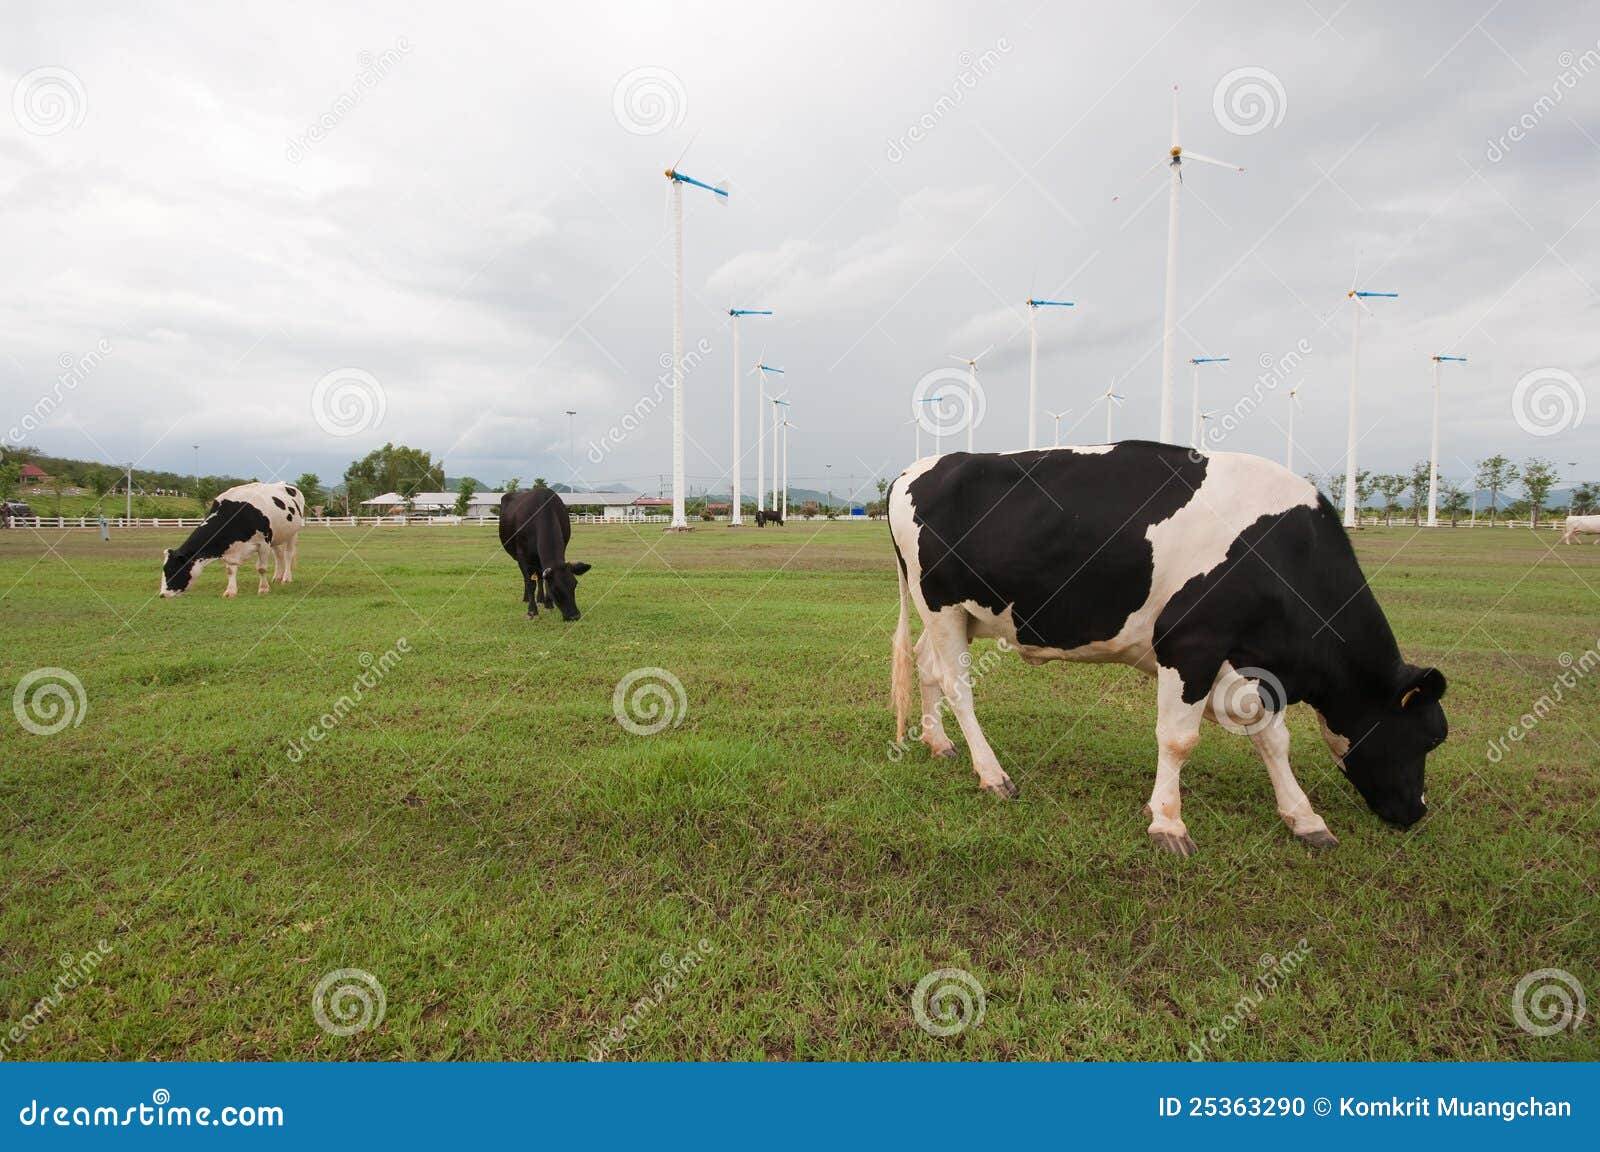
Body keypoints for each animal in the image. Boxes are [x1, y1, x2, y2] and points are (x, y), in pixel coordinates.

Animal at [161, 481, 304, 598]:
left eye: (172, 570)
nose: (163, 594)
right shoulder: (231, 549)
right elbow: (230, 570)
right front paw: (230, 591)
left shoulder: (263, 543)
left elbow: (261, 568)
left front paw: (263, 589)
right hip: (277, 535)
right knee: (278, 556)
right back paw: (277, 577)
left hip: (293, 533)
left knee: (287, 555)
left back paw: (286, 578)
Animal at [498, 486, 590, 621]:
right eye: (556, 590)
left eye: (574, 585)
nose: (574, 616)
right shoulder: (522, 557)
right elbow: (530, 583)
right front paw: (532, 611)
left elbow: (543, 579)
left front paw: (548, 604)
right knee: (528, 578)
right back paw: (526, 598)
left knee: (539, 577)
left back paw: (541, 599)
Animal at [888, 442, 1448, 856]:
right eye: (1429, 737)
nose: (1416, 812)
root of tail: (917, 469)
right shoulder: (1189, 645)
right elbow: (1179, 739)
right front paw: (1168, 823)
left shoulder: (1246, 663)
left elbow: (1273, 739)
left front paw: (1305, 817)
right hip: (940, 602)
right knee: (958, 686)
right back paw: (992, 774)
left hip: (959, 614)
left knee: (927, 664)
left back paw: (938, 742)